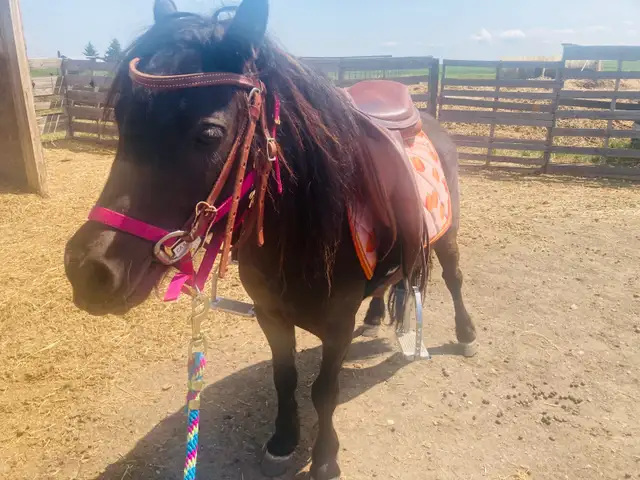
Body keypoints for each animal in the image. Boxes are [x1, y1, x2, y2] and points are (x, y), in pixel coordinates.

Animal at [63, 1, 477, 478]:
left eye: (209, 133)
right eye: (122, 118)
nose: (87, 270)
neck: (303, 235)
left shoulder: (338, 324)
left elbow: (324, 391)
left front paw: (324, 458)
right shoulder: (270, 314)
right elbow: (286, 378)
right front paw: (282, 441)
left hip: (447, 237)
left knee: (454, 278)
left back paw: (466, 334)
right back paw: (378, 314)